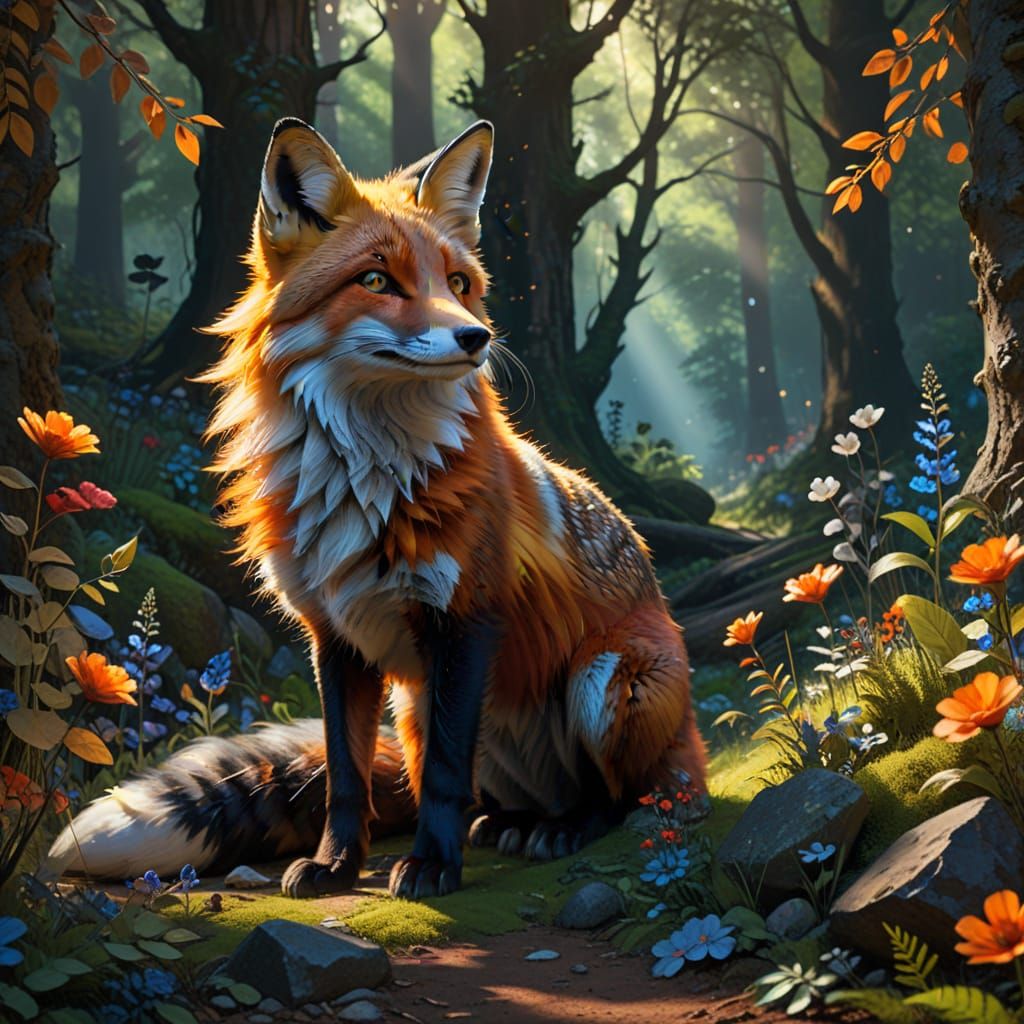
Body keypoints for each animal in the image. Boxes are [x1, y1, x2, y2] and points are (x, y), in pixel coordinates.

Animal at [49, 119, 706, 899]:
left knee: (621, 797)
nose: (477, 338)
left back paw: (566, 828)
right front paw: (337, 865)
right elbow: (346, 775)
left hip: (603, 681)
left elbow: (445, 777)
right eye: (375, 281)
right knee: (465, 792)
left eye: (459, 284)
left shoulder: (467, 620)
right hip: (418, 708)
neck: (364, 485)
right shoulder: (334, 635)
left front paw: (432, 867)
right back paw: (510, 824)